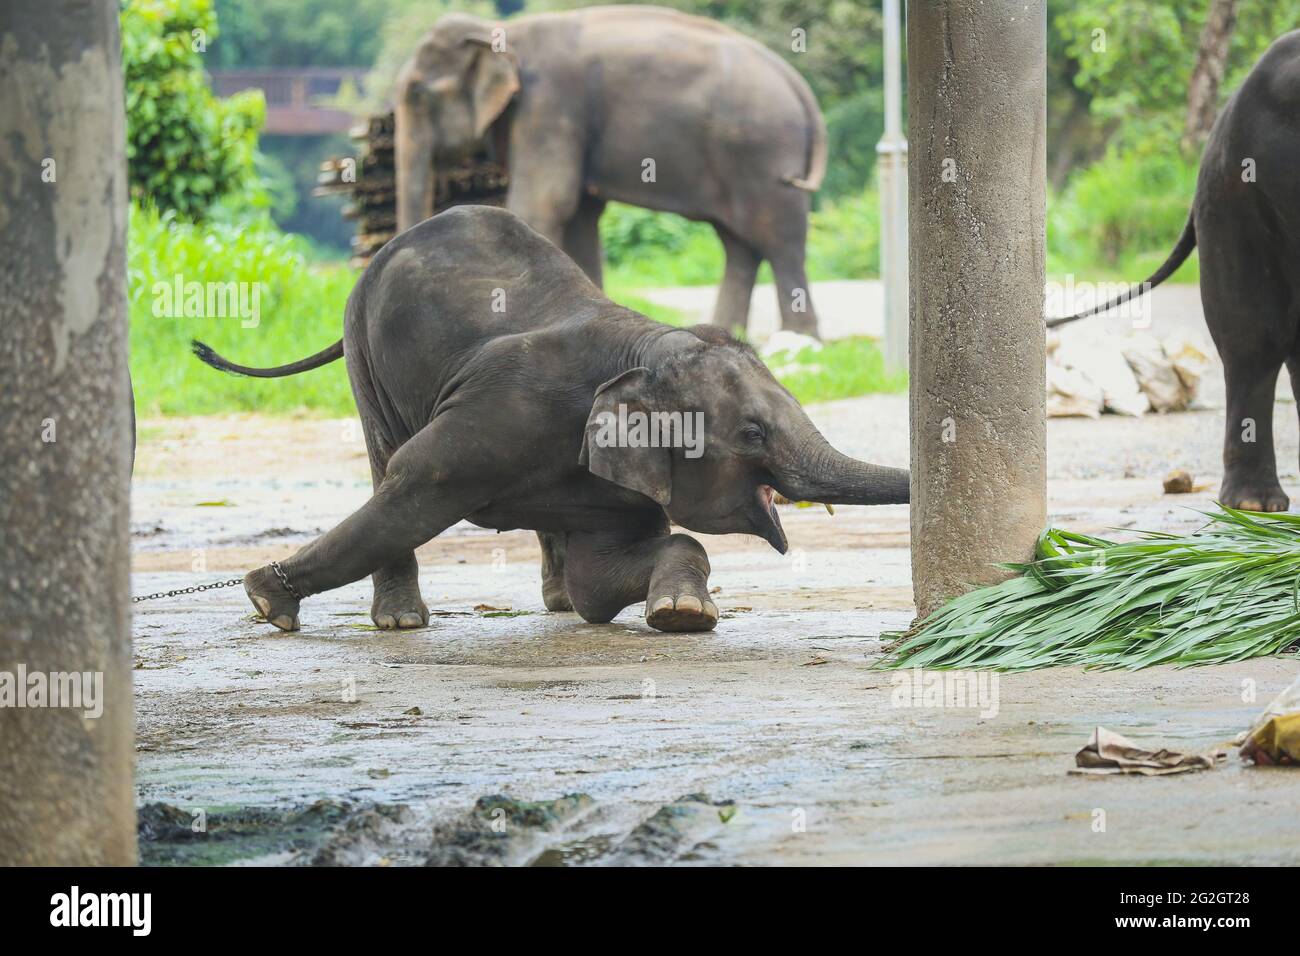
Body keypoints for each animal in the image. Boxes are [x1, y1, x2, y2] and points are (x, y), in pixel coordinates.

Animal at [192, 206, 908, 633]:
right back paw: (401, 623)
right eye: (752, 433)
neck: (641, 349)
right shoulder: (498, 412)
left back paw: (556, 600)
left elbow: (604, 575)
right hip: (363, 350)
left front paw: (679, 614)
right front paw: (265, 597)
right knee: (383, 457)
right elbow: (411, 486)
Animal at [393, 5, 826, 338]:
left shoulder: (549, 105)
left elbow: (545, 202)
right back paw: (729, 332)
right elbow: (581, 217)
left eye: (418, 93)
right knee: (739, 244)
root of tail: (799, 85)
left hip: (765, 154)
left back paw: (799, 338)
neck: (502, 32)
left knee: (780, 240)